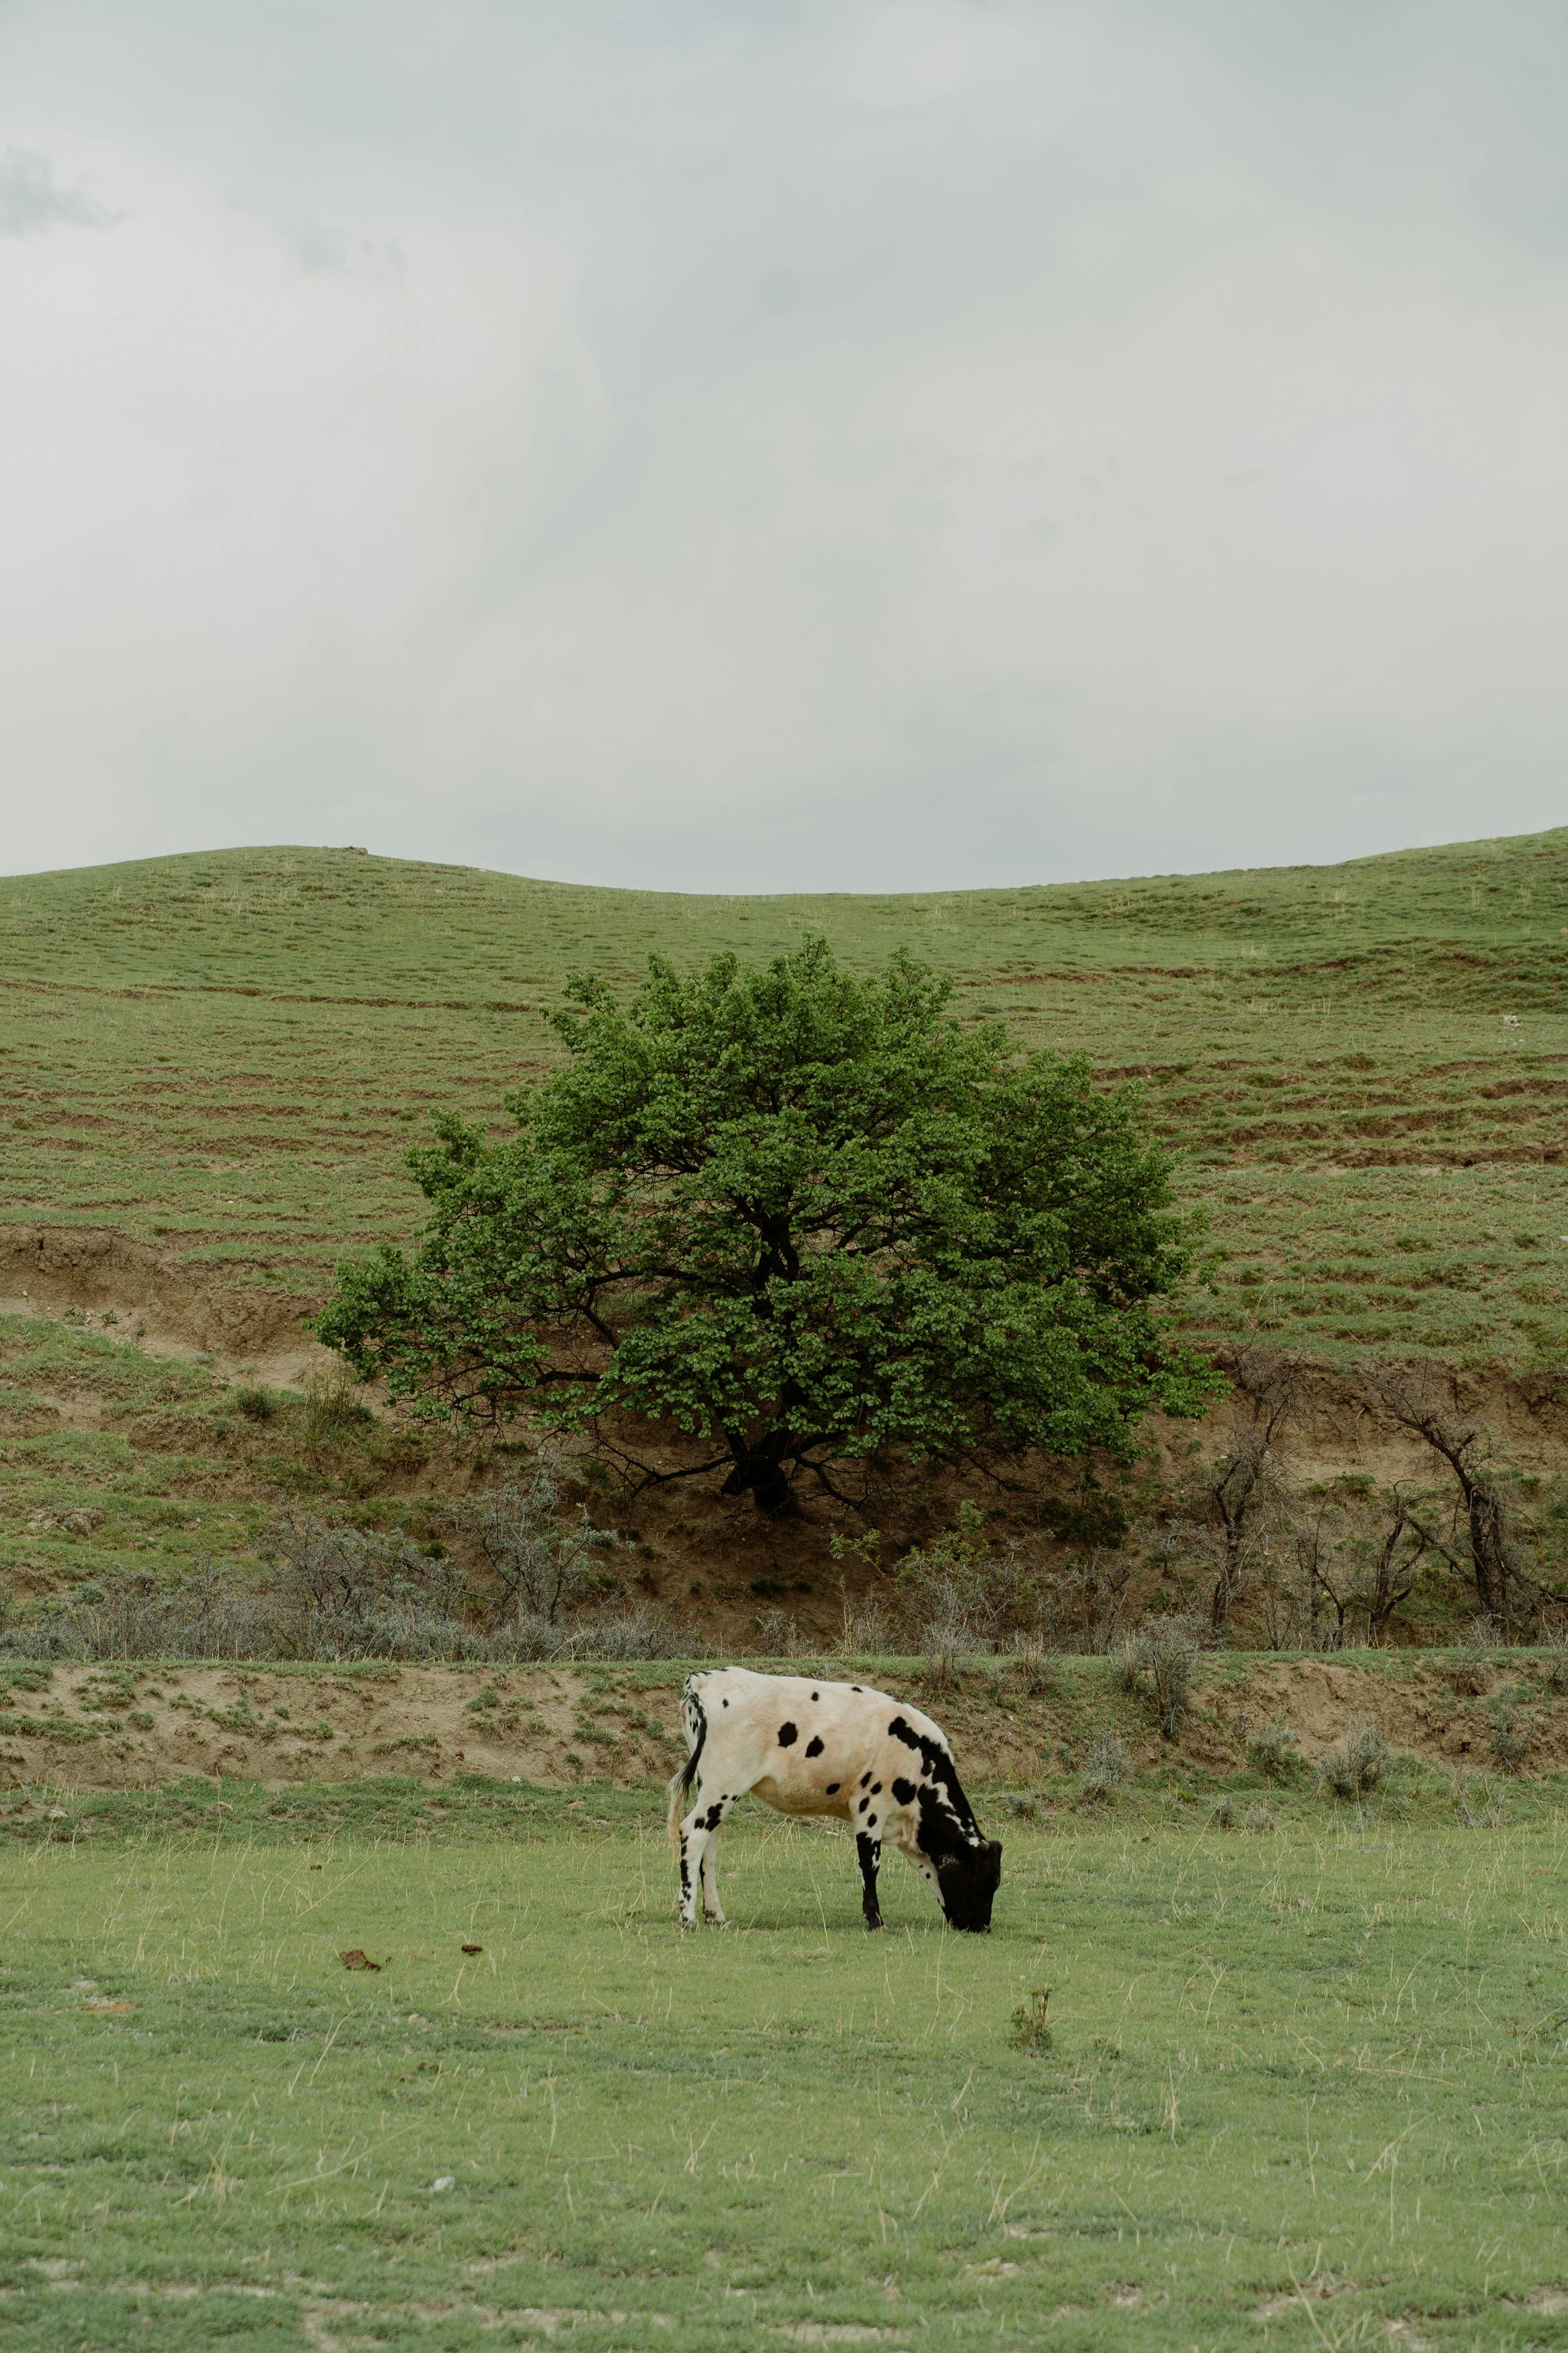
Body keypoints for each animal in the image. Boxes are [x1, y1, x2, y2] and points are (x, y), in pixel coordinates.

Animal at [667, 1665, 1002, 1933]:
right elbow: (870, 1864)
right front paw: (876, 1920)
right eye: (983, 1880)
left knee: (709, 1847)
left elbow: (928, 1871)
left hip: (715, 1789)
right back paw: (688, 1917)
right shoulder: (871, 1808)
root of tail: (703, 1680)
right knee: (693, 1834)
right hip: (722, 1786)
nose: (982, 1927)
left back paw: (715, 1915)